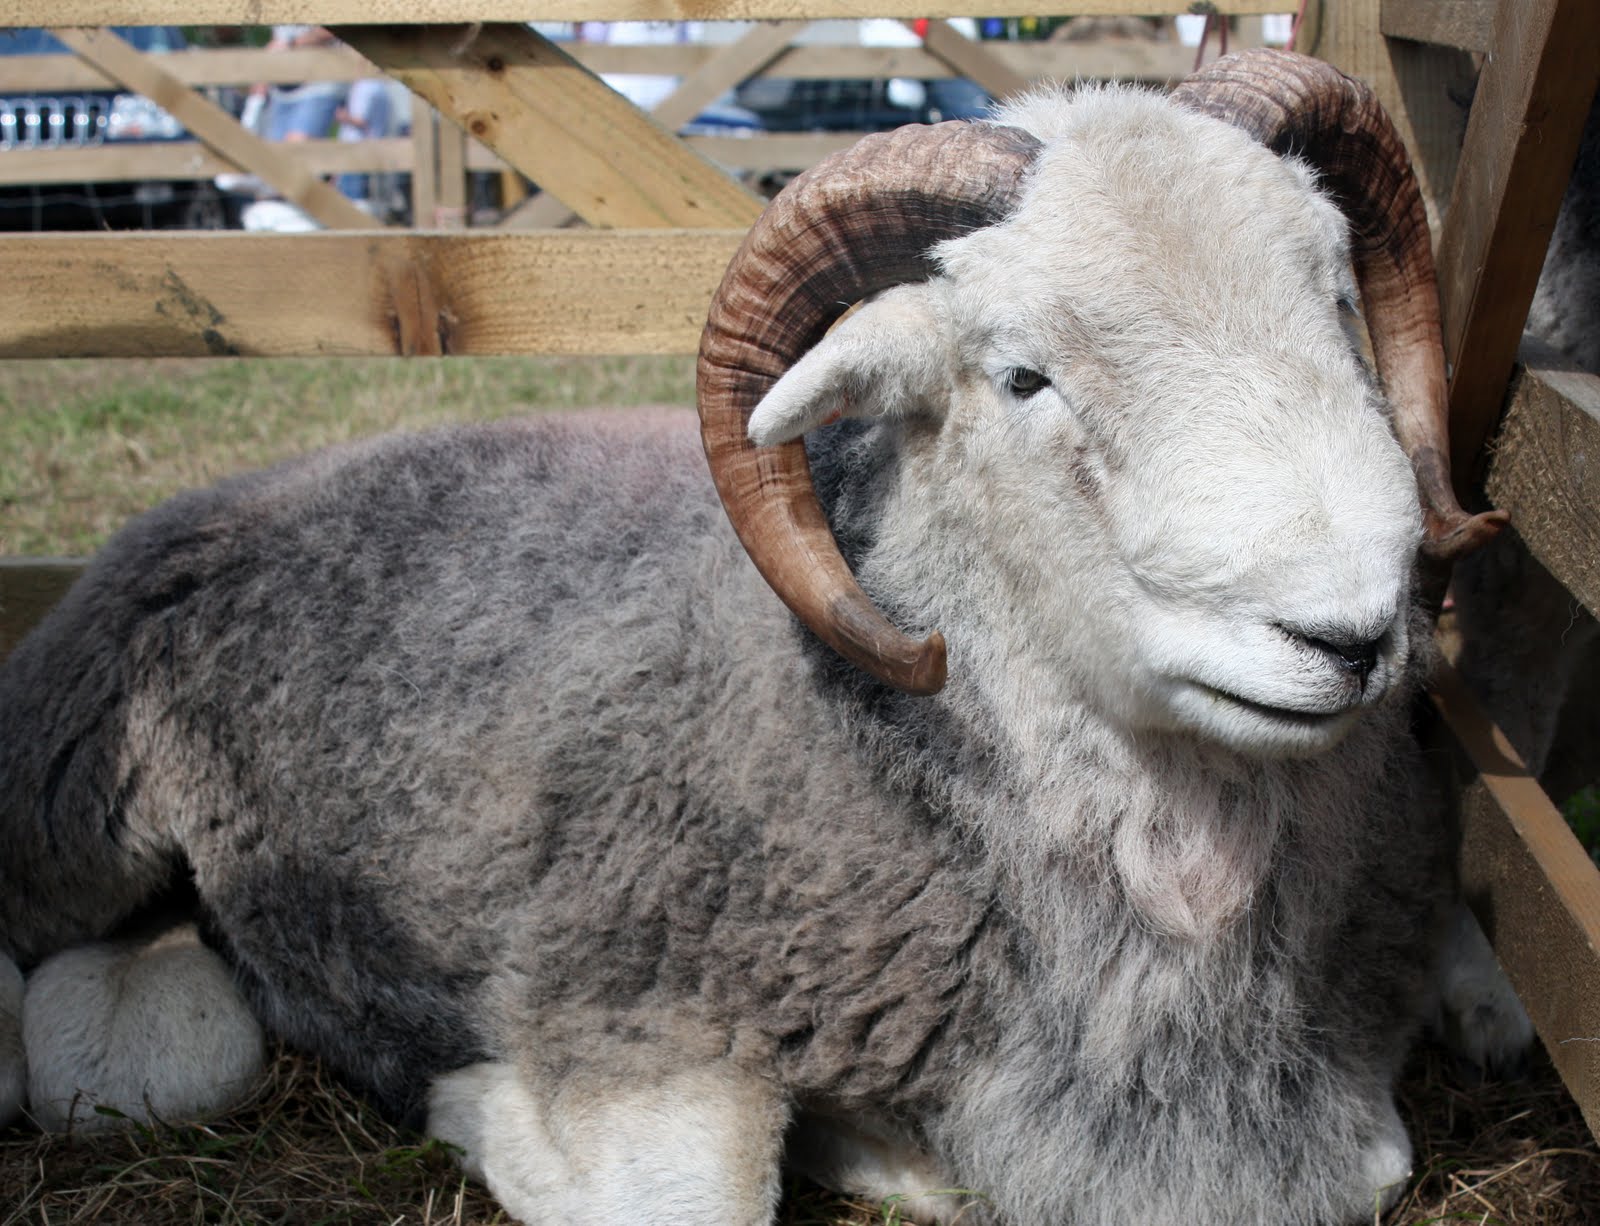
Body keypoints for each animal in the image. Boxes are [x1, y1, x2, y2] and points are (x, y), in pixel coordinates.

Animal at [0, 50, 1527, 1224]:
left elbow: (1394, 1132)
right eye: (1020, 375)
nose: (1350, 632)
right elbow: (693, 1191)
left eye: (1336, 303)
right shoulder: (628, 996)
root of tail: (234, 487)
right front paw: (476, 1101)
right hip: (67, 812)